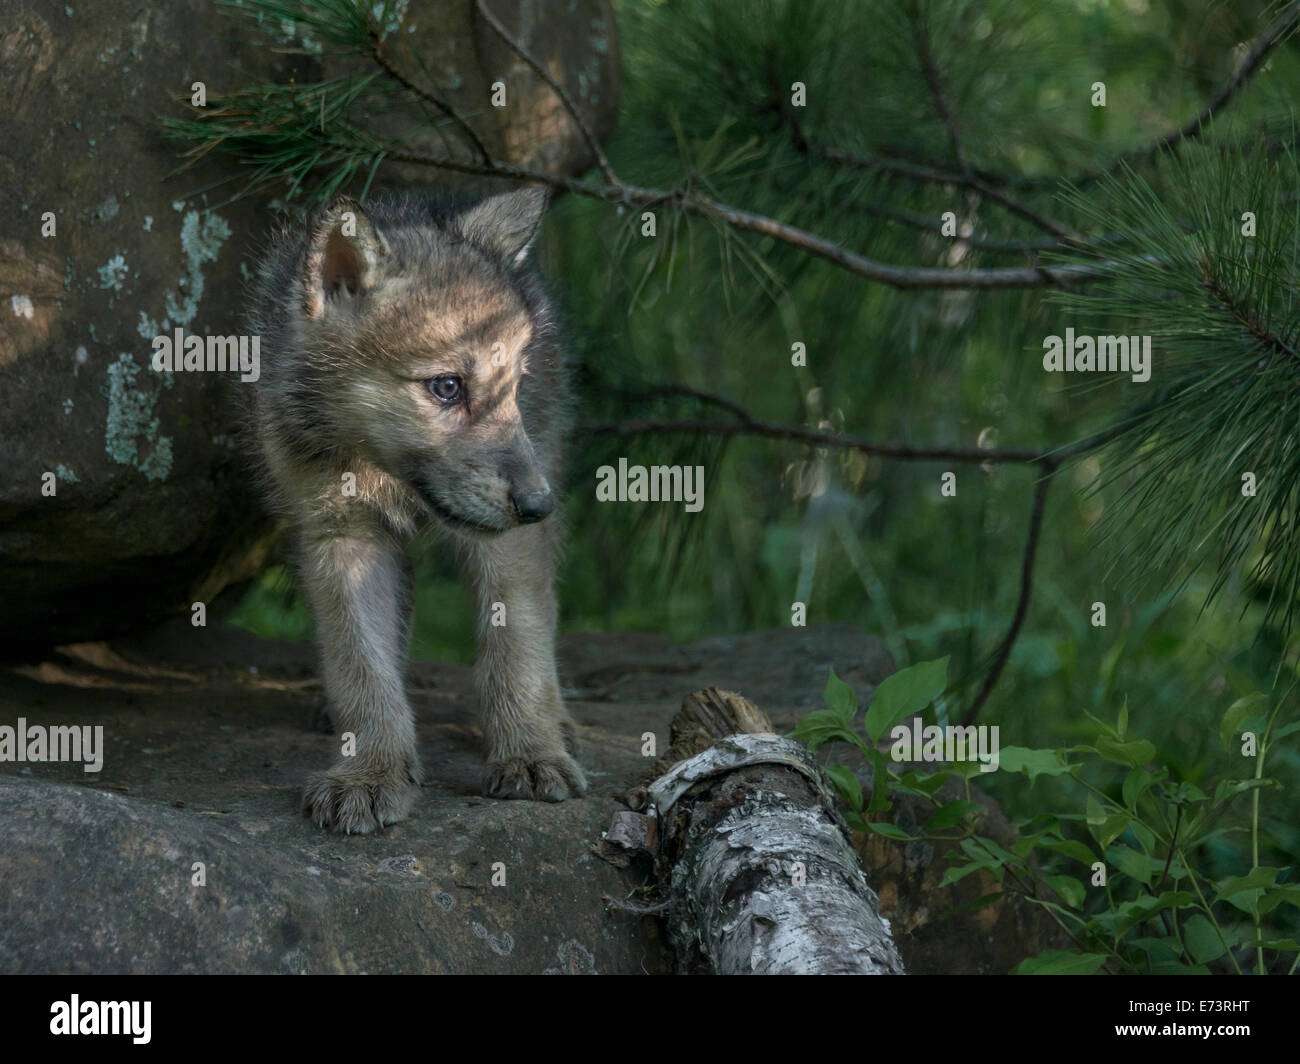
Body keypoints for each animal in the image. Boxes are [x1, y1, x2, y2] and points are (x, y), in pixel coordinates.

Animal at [246, 186, 585, 834]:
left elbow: (518, 646)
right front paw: (373, 771)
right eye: (446, 387)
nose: (539, 503)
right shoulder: (340, 533)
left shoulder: (509, 540)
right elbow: (361, 663)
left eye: (512, 386)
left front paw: (529, 754)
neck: (383, 467)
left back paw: (560, 725)